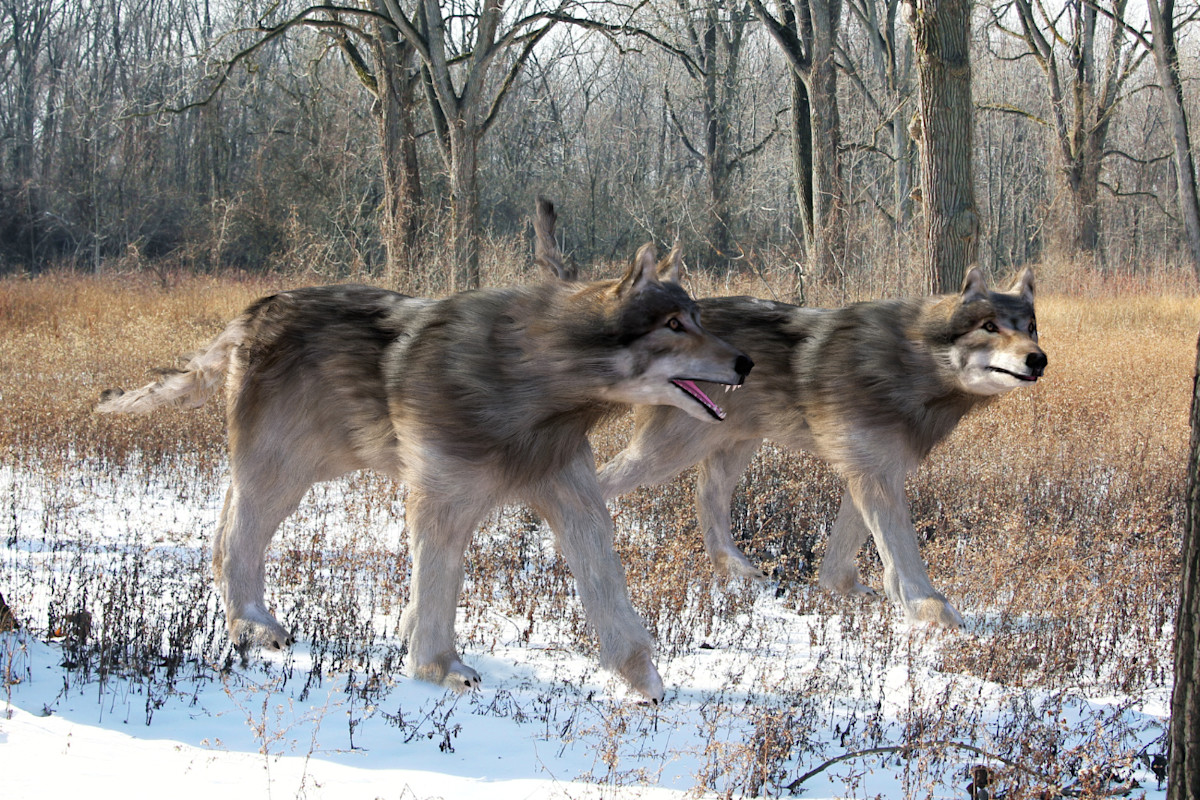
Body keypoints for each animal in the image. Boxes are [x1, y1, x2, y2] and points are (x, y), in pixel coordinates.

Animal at [97, 224, 753, 703]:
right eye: (673, 325)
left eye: (699, 318)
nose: (746, 361)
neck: (533, 383)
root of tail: (251, 312)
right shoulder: (438, 505)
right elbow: (439, 588)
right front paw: (438, 668)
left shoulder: (577, 504)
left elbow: (608, 593)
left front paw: (644, 680)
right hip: (282, 476)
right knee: (240, 538)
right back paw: (251, 627)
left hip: (298, 470)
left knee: (225, 524)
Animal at [596, 270, 1046, 627]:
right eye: (989, 327)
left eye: (1030, 326)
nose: (1038, 359)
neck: (911, 364)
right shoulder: (874, 475)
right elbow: (904, 553)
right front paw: (931, 611)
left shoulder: (873, 470)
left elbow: (846, 551)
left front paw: (846, 591)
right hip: (668, 453)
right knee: (600, 482)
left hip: (735, 445)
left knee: (707, 497)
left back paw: (739, 571)